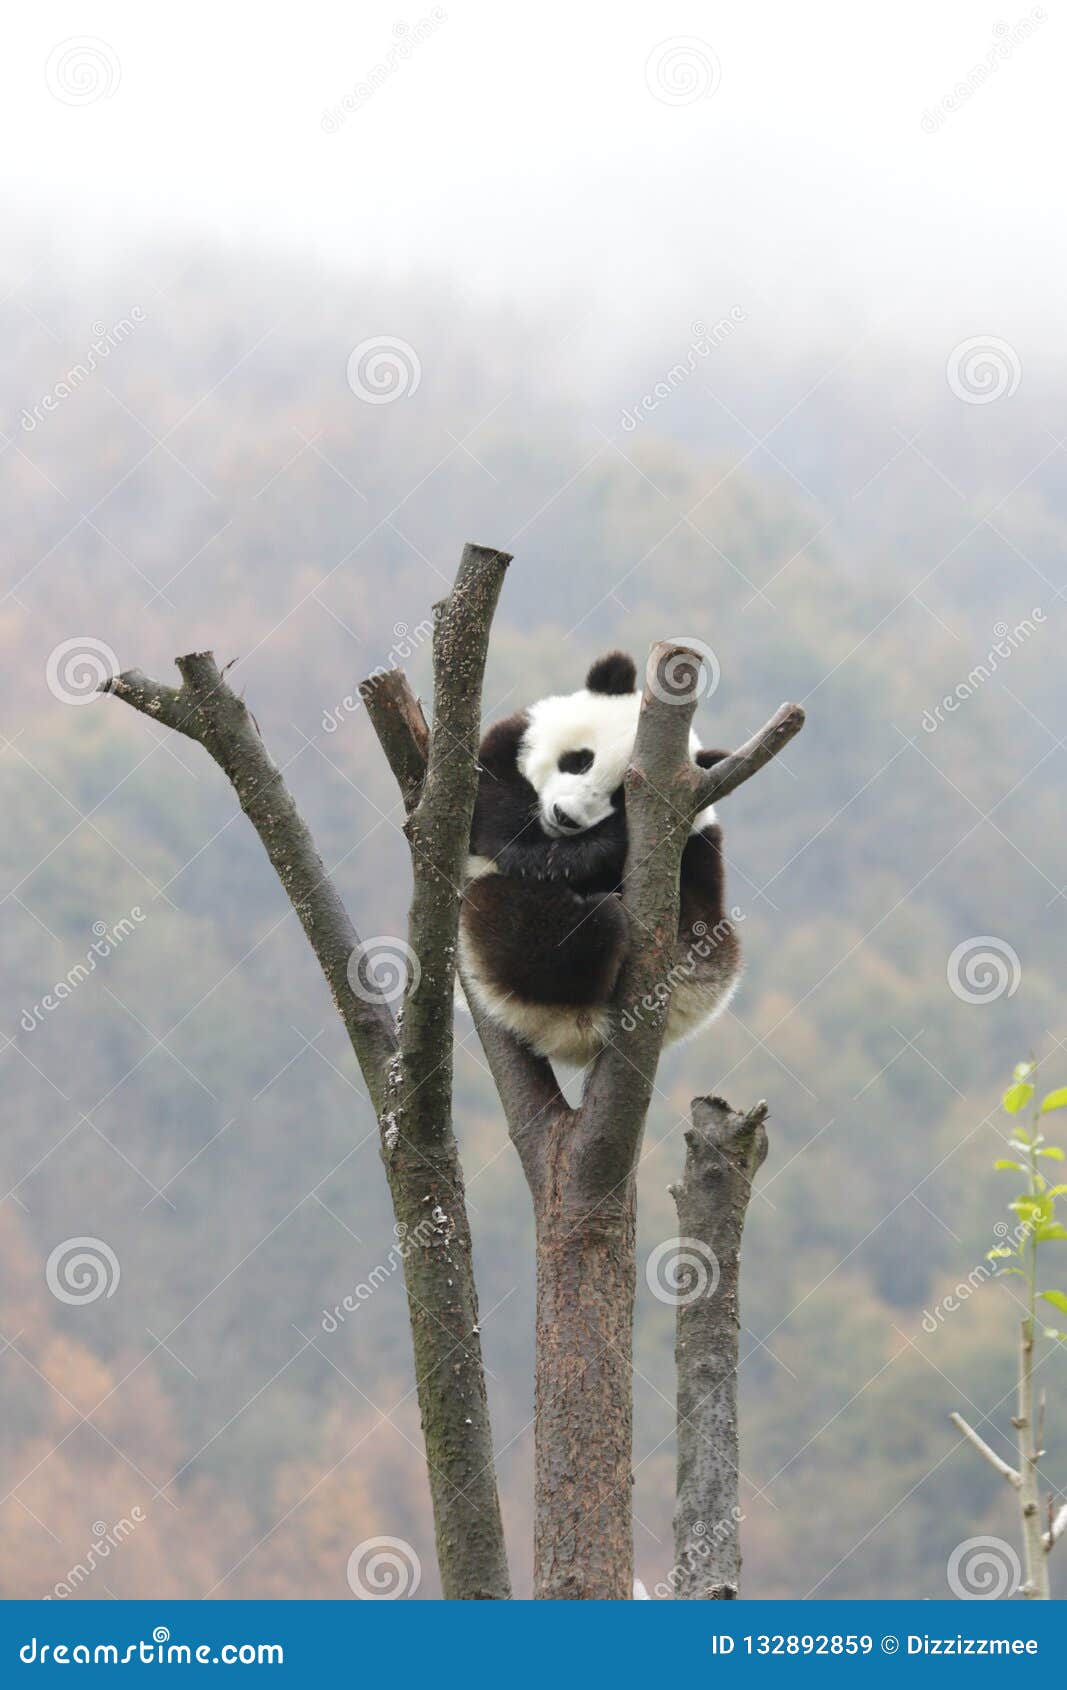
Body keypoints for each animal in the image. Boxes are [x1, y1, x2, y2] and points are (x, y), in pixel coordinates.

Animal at [458, 651, 741, 1065]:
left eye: (620, 797)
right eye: (579, 760)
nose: (565, 816)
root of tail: (578, 1034)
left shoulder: (697, 848)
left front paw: (575, 856)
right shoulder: (507, 744)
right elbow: (490, 797)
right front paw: (536, 855)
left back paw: (603, 916)